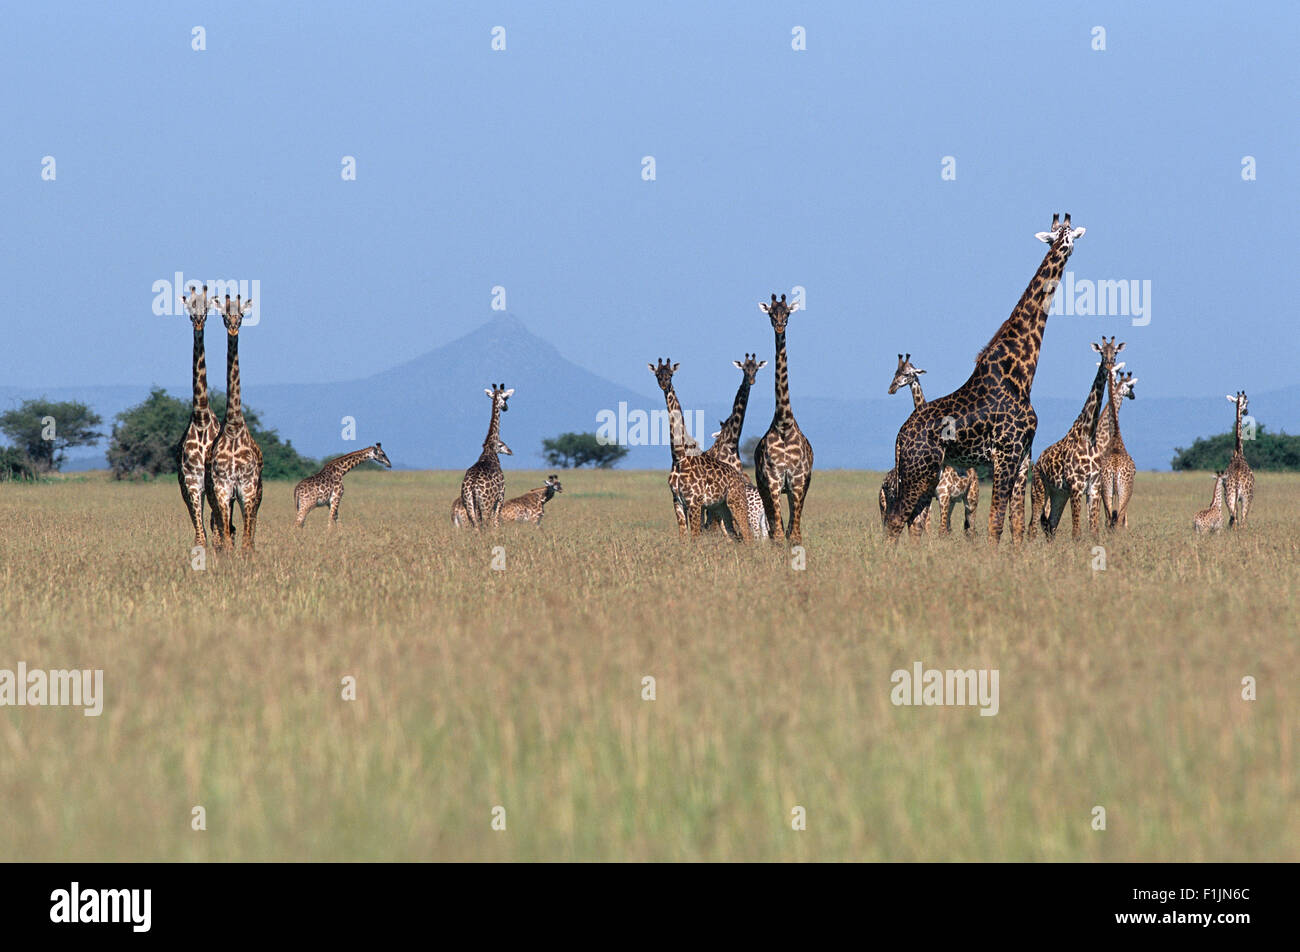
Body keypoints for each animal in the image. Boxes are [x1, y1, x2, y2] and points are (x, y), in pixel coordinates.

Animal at [458, 384, 513, 529]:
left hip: (469, 505)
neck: (490, 449)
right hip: (485, 505)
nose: (506, 407)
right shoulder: (501, 496)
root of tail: (472, 487)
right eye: (506, 398)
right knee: (486, 524)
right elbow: (496, 523)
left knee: (476, 526)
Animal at [649, 359, 751, 541]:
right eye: (657, 374)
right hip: (722, 507)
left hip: (737, 502)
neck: (679, 457)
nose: (664, 384)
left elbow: (695, 537)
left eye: (671, 374)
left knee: (747, 535)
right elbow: (683, 538)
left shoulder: (694, 502)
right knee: (734, 536)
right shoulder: (677, 501)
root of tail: (740, 477)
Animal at [878, 354, 979, 534]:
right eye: (895, 373)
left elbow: (935, 529)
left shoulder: (942, 495)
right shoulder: (933, 496)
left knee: (969, 527)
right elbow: (927, 527)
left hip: (970, 497)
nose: (891, 389)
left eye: (908, 374)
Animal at [1027, 337, 1123, 539]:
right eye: (1101, 353)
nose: (1109, 365)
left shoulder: (1093, 487)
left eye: (1115, 352)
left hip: (1059, 494)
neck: (1089, 435)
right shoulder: (1076, 486)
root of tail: (1037, 462)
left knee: (1051, 525)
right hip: (1039, 489)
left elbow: (1093, 530)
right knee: (1032, 526)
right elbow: (1076, 532)